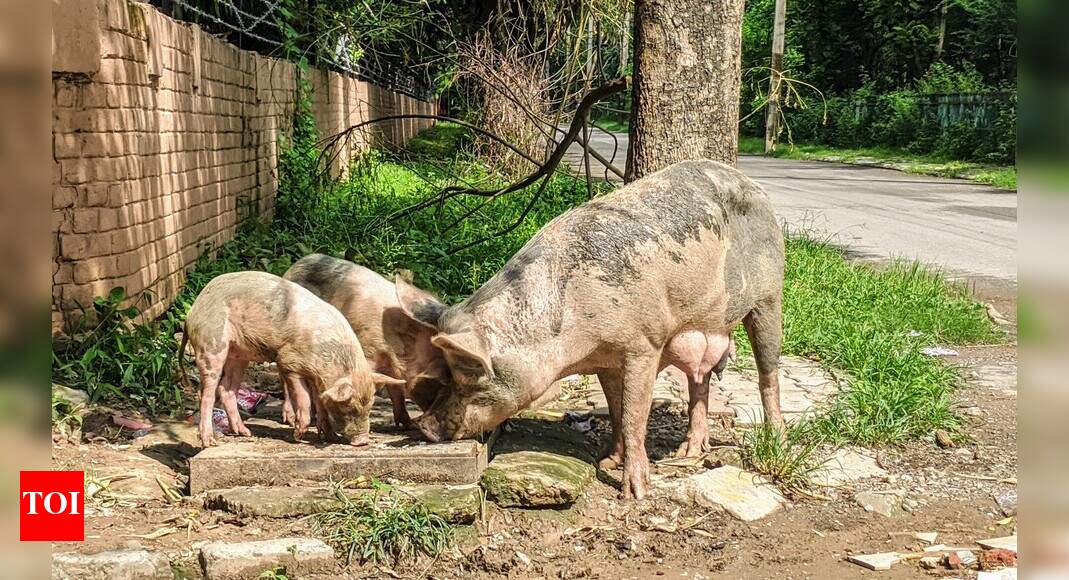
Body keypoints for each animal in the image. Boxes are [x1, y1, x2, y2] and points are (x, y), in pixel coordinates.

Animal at [180, 271, 404, 448]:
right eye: (348, 406)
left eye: (370, 405)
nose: (363, 441)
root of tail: (193, 311)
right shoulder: (289, 362)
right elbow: (304, 399)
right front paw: (298, 435)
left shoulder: (318, 379)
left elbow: (320, 403)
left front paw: (330, 437)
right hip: (211, 344)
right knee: (207, 392)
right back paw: (209, 441)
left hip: (238, 353)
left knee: (227, 389)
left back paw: (245, 433)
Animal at [281, 254, 450, 427]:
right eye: (440, 379)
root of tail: (294, 267)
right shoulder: (367, 351)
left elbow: (396, 391)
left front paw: (406, 424)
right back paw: (290, 420)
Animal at [395, 159, 785, 500]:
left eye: (470, 376)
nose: (424, 426)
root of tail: (757, 187)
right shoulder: (605, 361)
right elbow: (615, 410)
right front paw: (607, 461)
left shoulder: (644, 344)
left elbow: (634, 415)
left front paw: (634, 493)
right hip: (703, 326)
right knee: (698, 381)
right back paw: (687, 453)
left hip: (769, 298)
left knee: (767, 374)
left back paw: (775, 438)